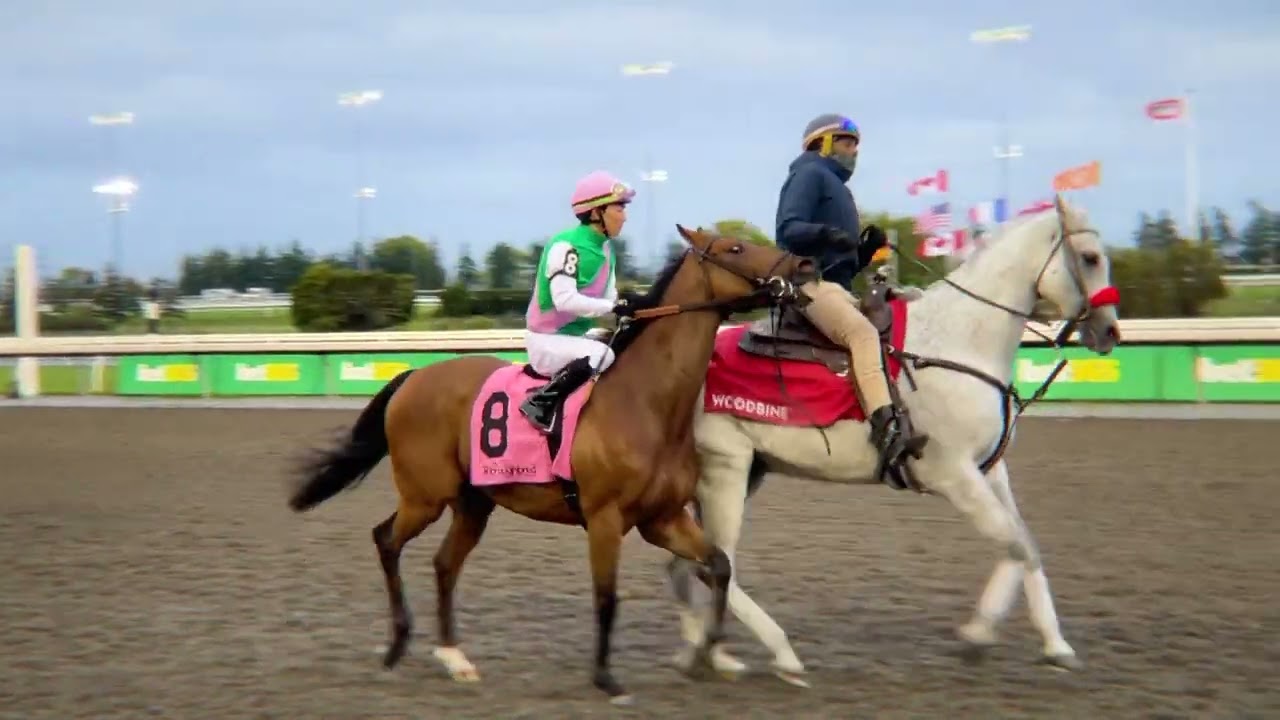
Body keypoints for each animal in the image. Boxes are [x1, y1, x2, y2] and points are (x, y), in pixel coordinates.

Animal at [285, 224, 816, 704]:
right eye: (735, 248)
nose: (804, 266)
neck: (647, 402)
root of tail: (412, 376)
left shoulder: (662, 518)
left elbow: (718, 566)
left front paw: (709, 650)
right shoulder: (604, 518)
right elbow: (607, 596)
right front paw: (606, 678)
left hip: (473, 503)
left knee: (443, 564)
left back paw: (455, 657)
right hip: (425, 495)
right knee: (386, 540)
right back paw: (397, 645)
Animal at [665, 195, 1122, 686]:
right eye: (1090, 258)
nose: (1110, 332)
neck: (958, 341)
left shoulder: (991, 470)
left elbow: (1026, 544)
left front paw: (1057, 646)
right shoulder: (954, 475)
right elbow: (1014, 544)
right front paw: (978, 633)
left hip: (744, 473)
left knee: (690, 564)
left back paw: (705, 653)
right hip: (725, 471)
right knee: (718, 566)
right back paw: (776, 654)